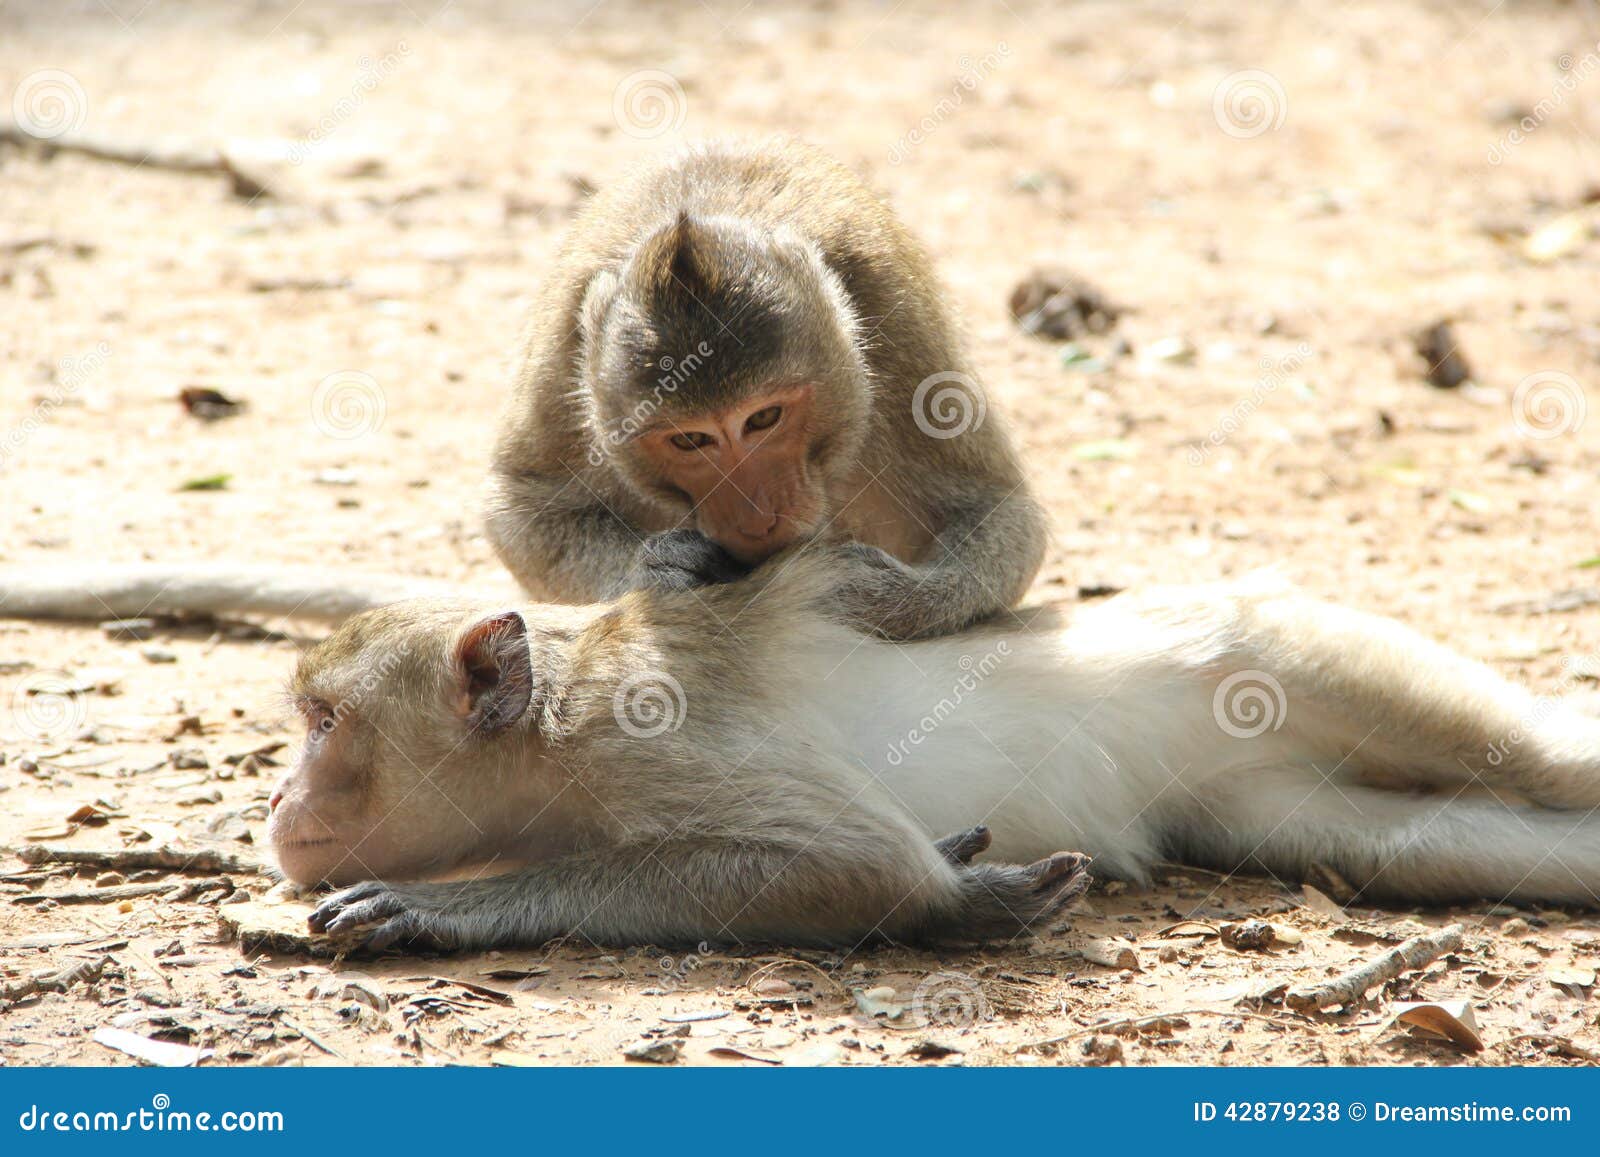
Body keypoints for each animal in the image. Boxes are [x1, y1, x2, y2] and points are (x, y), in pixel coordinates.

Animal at [234, 552, 1600, 952]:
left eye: (326, 720)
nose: (280, 795)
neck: (551, 743)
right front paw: (975, 888)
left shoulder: (646, 731)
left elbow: (857, 861)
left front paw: (436, 910)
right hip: (1268, 784)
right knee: (1423, 840)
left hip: (1271, 641)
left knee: (1536, 760)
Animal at [482, 136, 1047, 640]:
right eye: (691, 440)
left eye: (763, 418)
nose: (756, 520)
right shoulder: (565, 343)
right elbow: (520, 509)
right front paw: (655, 571)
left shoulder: (897, 312)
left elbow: (1001, 507)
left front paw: (868, 596)